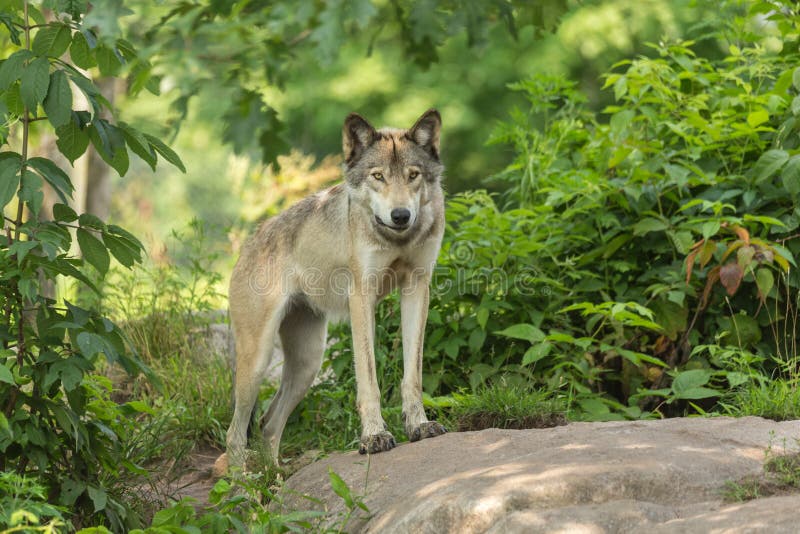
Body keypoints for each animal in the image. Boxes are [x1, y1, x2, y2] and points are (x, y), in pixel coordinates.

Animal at [220, 109, 448, 468]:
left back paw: (276, 479)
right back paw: (243, 483)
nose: (400, 215)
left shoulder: (417, 287)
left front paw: (419, 426)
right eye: (378, 176)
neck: (396, 238)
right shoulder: (361, 298)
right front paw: (374, 437)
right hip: (258, 362)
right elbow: (369, 381)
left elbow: (412, 375)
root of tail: (249, 242)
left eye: (413, 175)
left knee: (268, 424)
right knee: (235, 433)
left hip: (308, 364)